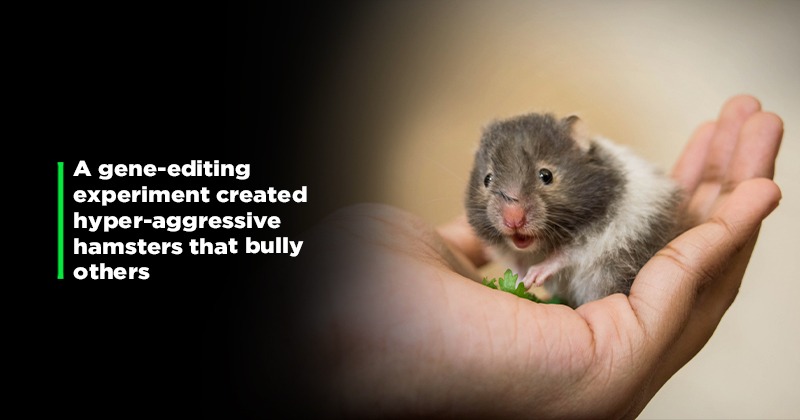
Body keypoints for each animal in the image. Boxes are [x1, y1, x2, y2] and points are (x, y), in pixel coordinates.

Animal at [466, 113, 681, 308]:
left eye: (546, 175)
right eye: (487, 179)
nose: (513, 220)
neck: (540, 247)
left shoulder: (598, 235)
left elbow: (565, 254)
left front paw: (534, 275)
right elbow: (516, 264)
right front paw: (520, 281)